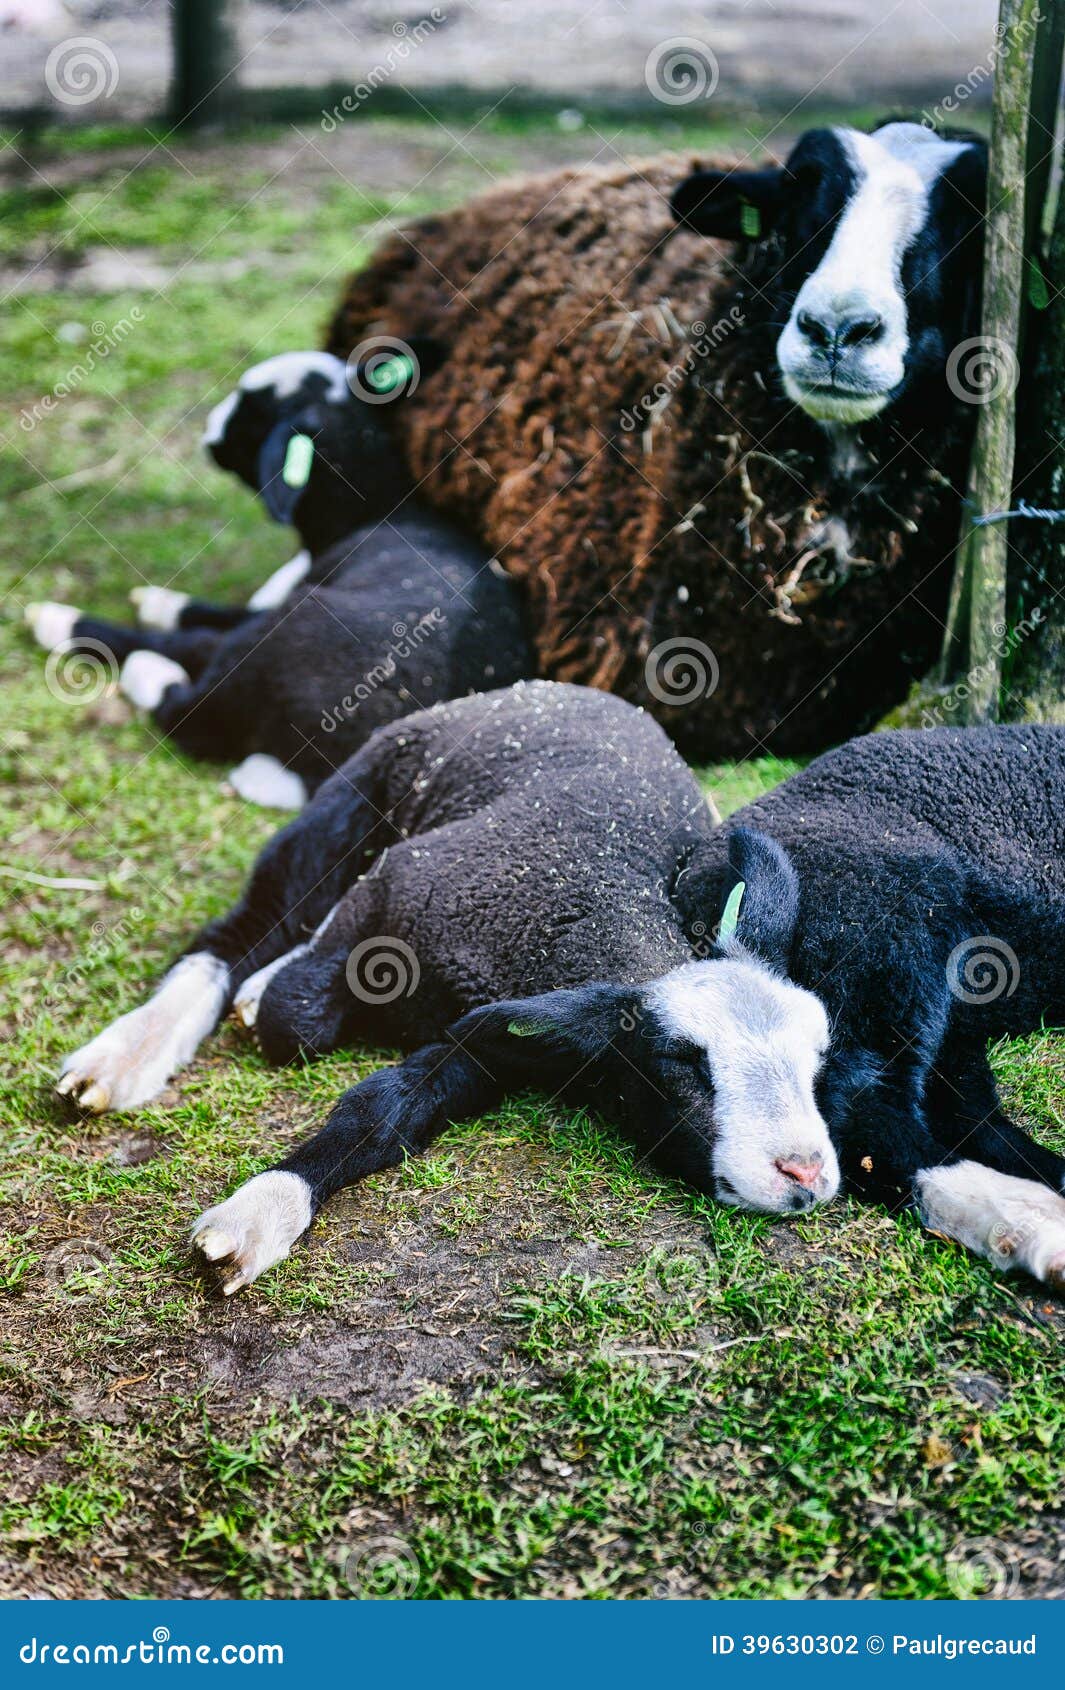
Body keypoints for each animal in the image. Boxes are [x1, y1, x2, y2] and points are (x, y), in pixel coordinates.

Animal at [24, 347, 533, 809]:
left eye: (253, 409)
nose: (209, 428)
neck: (370, 509)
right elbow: (211, 610)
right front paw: (157, 600)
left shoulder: (282, 601)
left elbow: (205, 628)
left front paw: (77, 617)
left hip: (282, 632)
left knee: (192, 707)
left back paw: (114, 651)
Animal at [51, 681, 1065, 1297]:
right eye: (682, 1062)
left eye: (818, 1065)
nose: (805, 1177)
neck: (589, 918)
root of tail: (536, 686)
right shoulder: (389, 901)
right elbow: (297, 1022)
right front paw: (250, 1215)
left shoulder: (496, 1037)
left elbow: (382, 1108)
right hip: (348, 804)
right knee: (241, 930)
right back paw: (126, 1055)